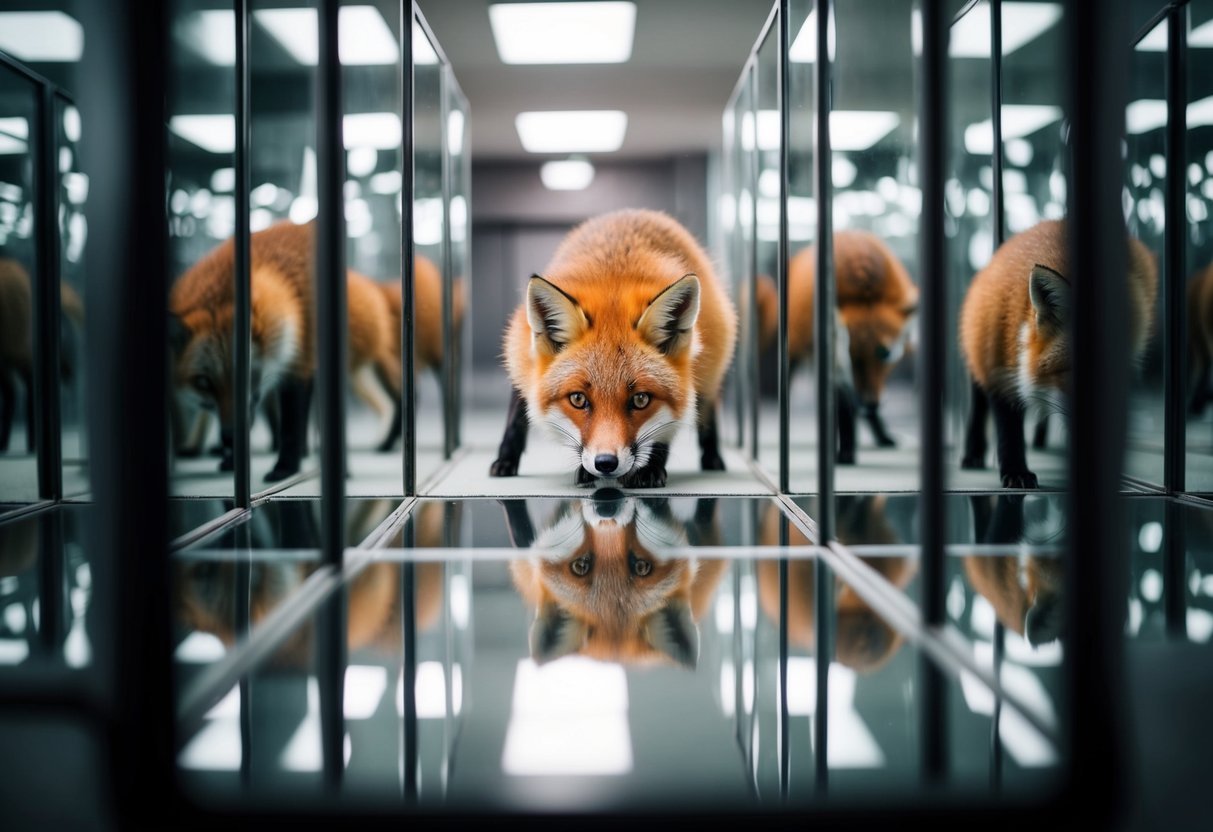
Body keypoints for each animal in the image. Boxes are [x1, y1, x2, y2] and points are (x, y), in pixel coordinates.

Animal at [170, 220, 403, 481]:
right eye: (203, 382)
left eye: (247, 375)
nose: (230, 437)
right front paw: (233, 461)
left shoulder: (297, 365)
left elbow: (291, 427)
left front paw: (285, 468)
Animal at [490, 209, 738, 488]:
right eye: (578, 399)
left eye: (640, 399)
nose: (605, 463)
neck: (613, 279)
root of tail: (636, 211)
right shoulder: (521, 355)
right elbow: (517, 414)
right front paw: (507, 459)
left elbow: (667, 426)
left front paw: (651, 468)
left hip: (709, 369)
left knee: (707, 408)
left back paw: (712, 457)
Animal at [756, 231, 919, 463]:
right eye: (851, 355)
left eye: (885, 354)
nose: (869, 404)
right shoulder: (835, 364)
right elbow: (843, 410)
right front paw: (845, 451)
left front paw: (879, 433)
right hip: (796, 352)